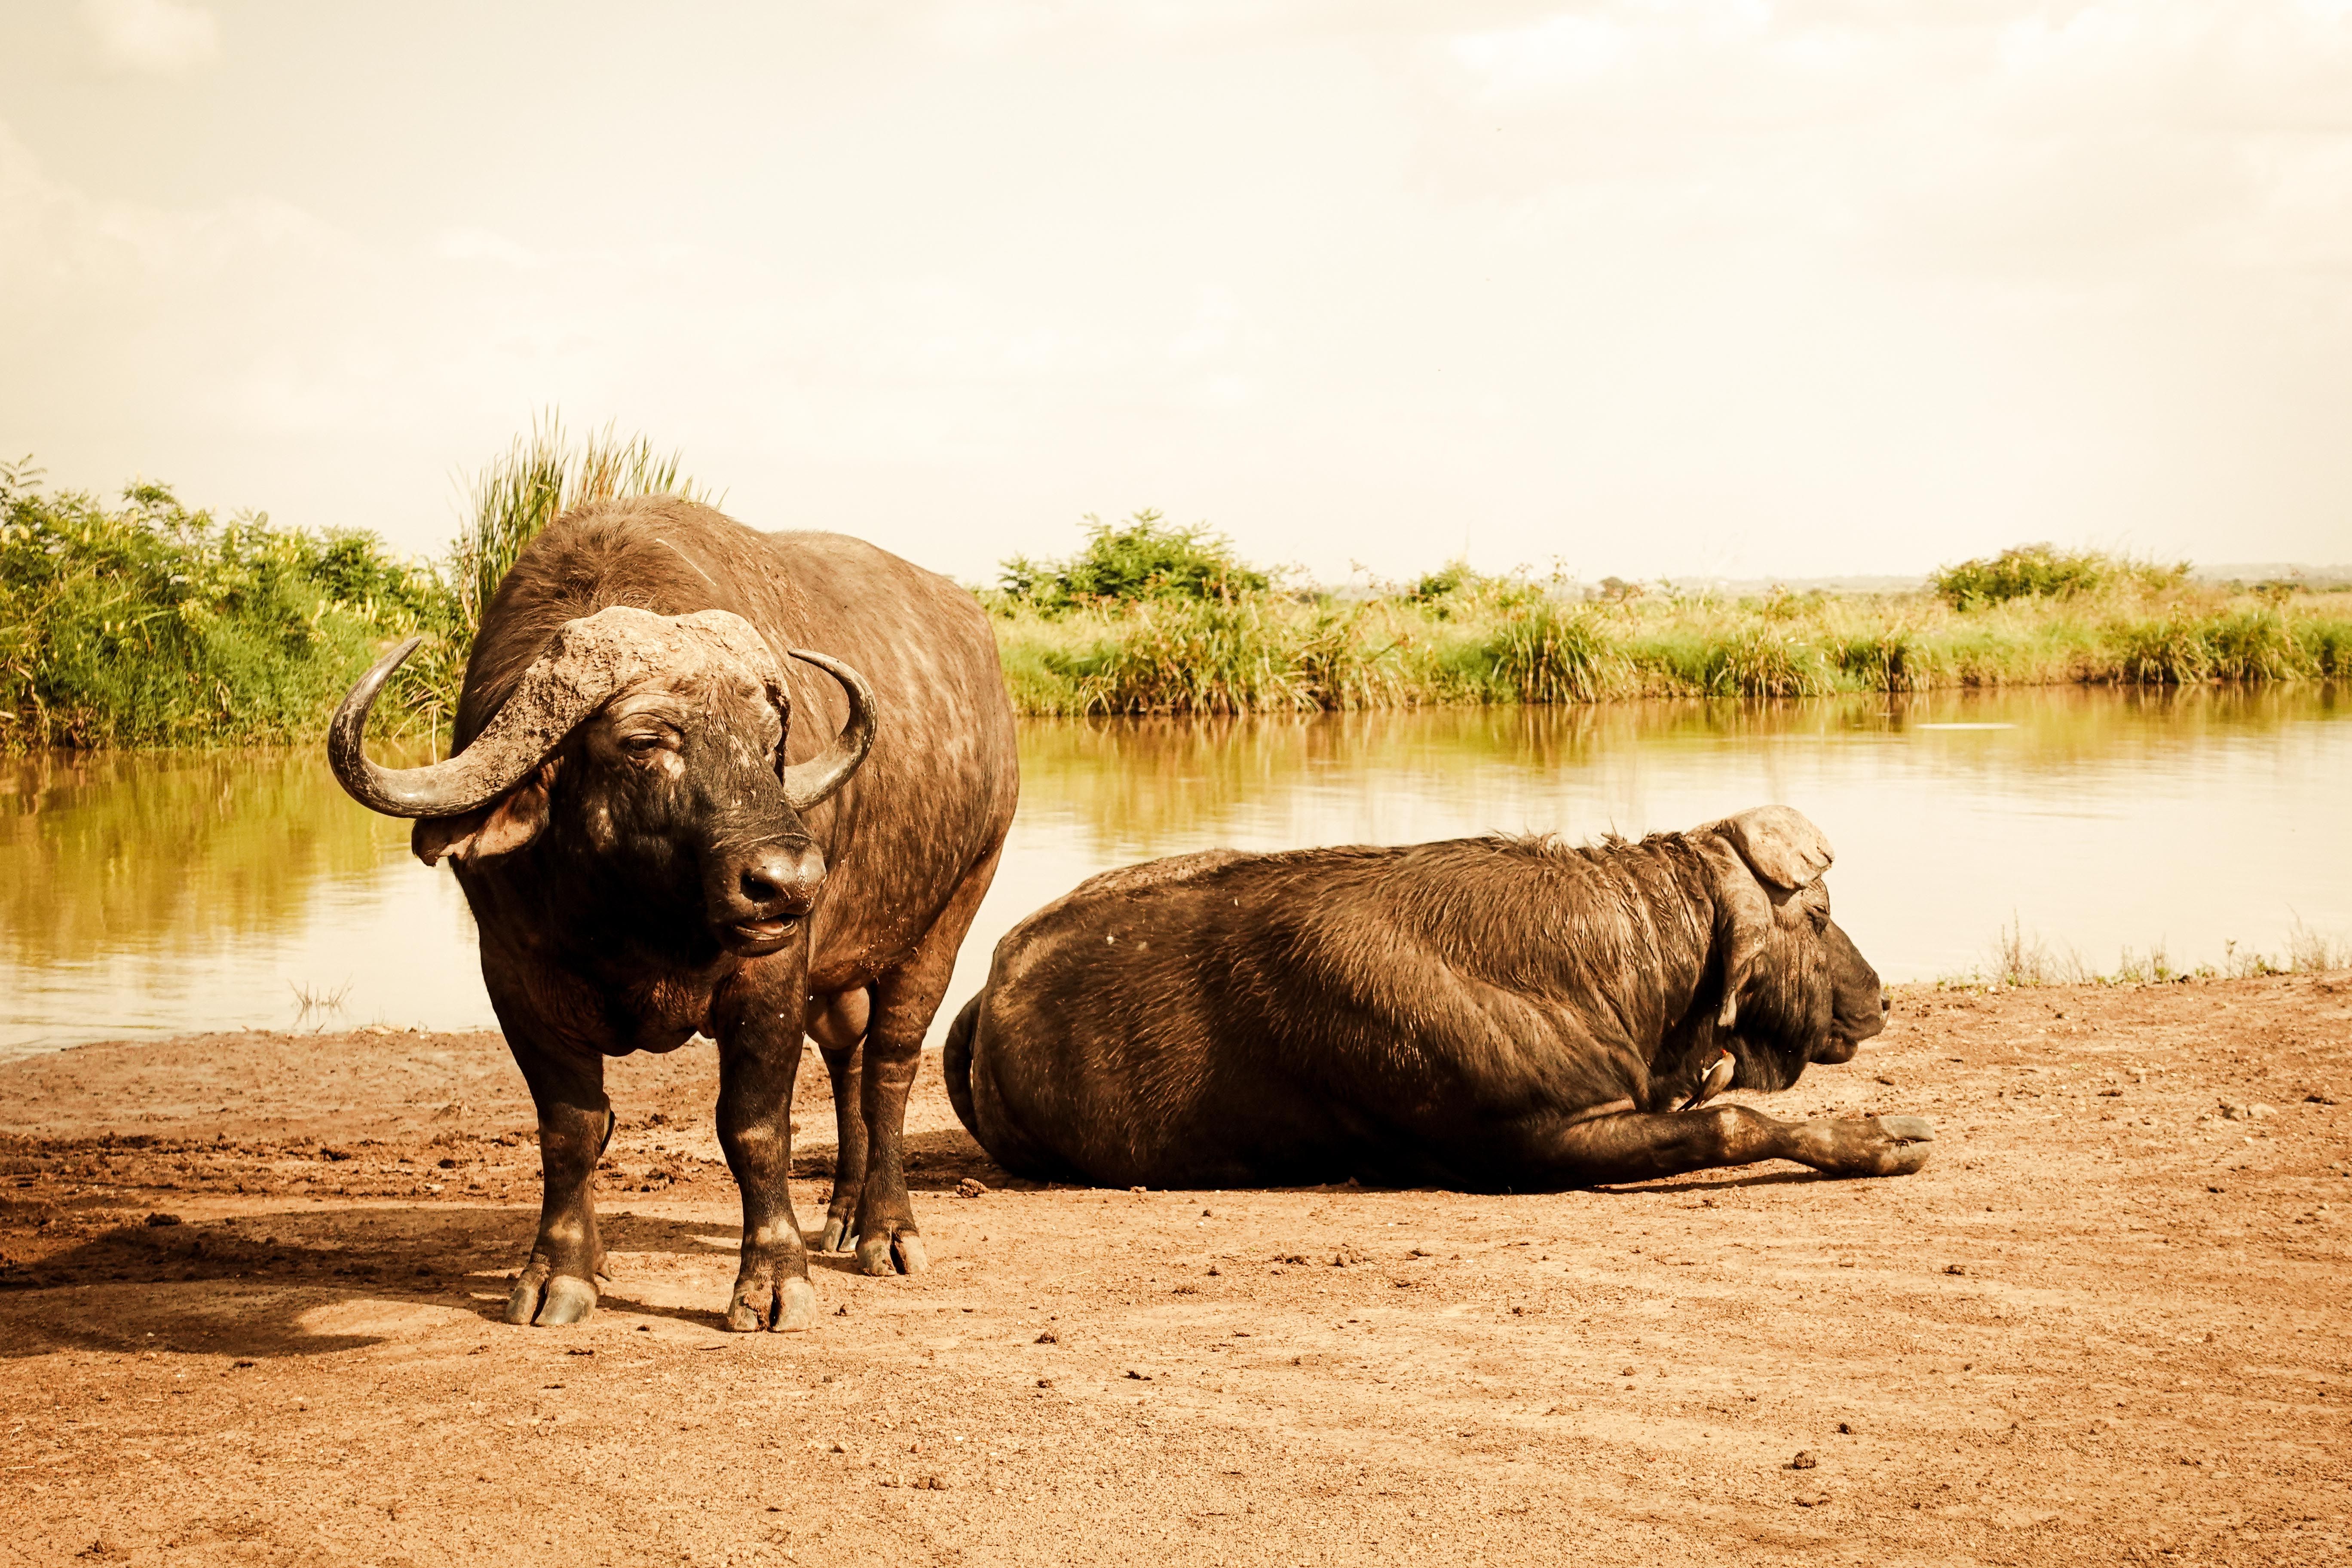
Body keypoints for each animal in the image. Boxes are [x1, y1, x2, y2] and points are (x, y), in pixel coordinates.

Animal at [330, 497, 1018, 1328]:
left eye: (770, 740)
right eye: (644, 740)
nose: (789, 882)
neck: (636, 918)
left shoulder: (772, 974)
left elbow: (754, 1126)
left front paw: (775, 1281)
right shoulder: (516, 975)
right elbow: (571, 1128)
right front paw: (563, 1272)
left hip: (953, 907)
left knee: (889, 1064)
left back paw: (887, 1232)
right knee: (847, 1059)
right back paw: (845, 1216)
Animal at [945, 806, 1932, 1190]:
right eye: (1819, 914)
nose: (1880, 998)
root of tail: (986, 990)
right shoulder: (1535, 1142)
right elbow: (1733, 1122)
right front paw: (1879, 1140)